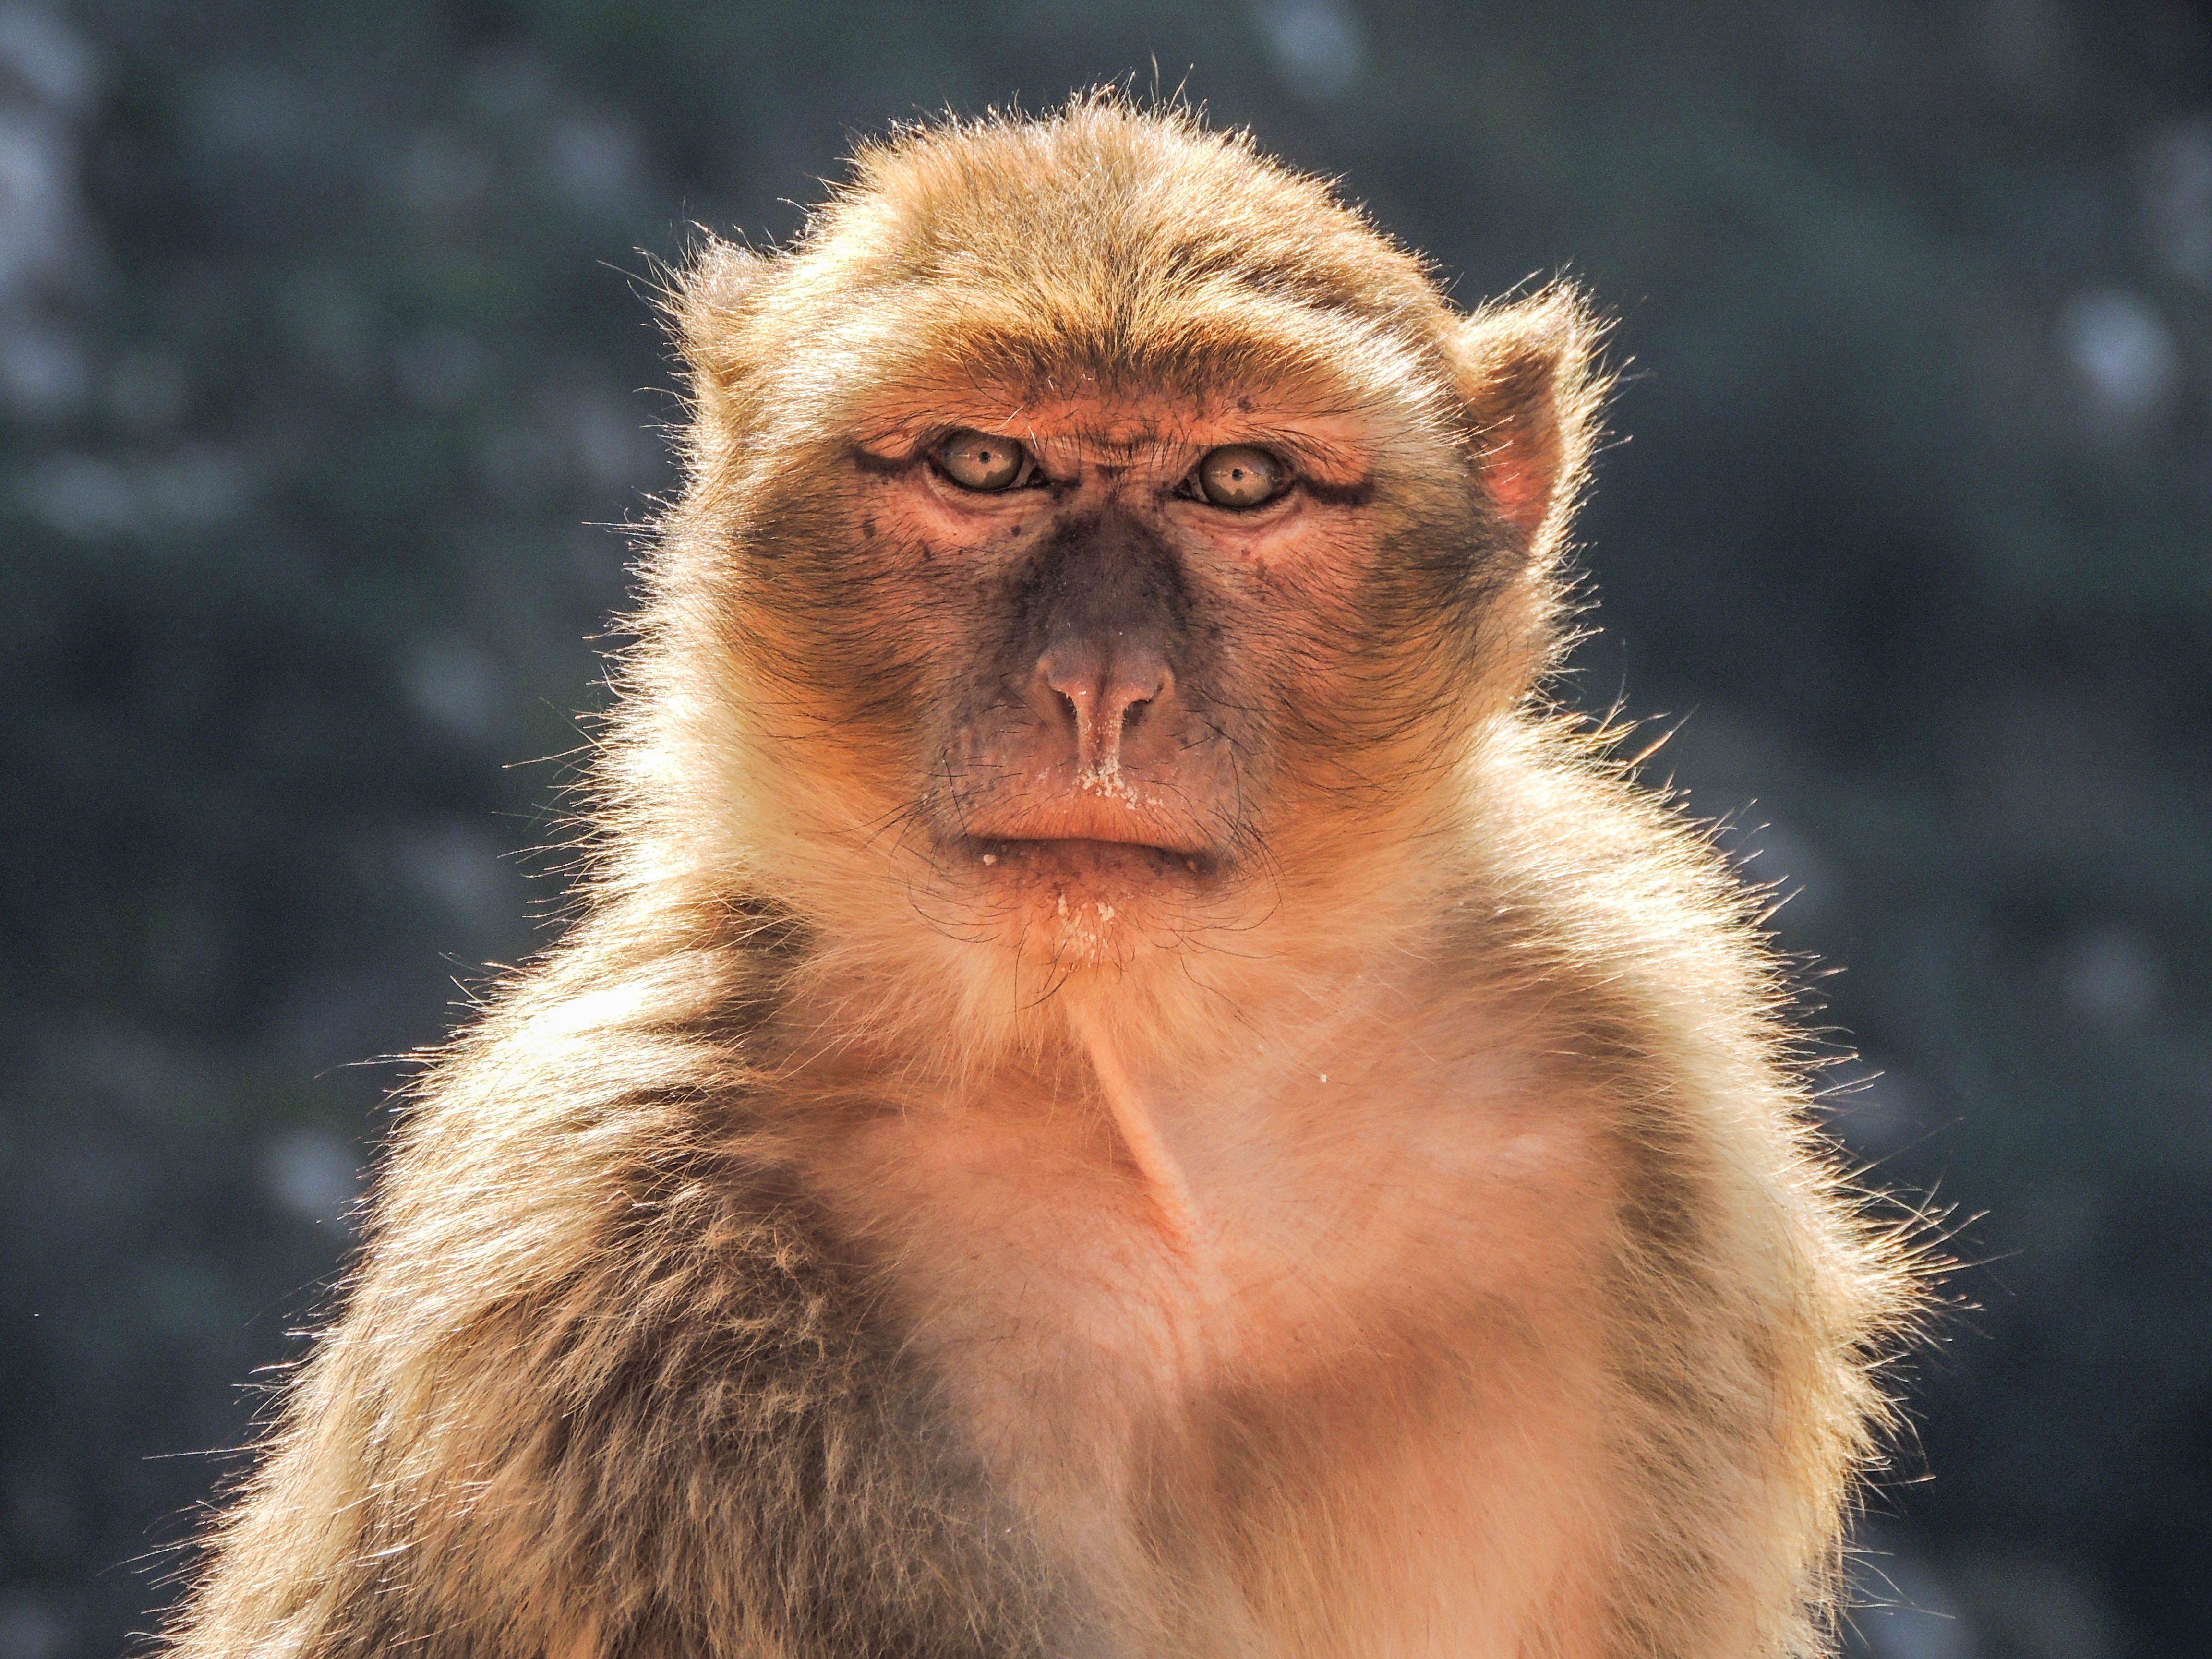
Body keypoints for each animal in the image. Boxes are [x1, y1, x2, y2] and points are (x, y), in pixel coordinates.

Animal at [162, 98, 1919, 1659]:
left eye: (1237, 482)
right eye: (981, 462)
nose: (1099, 689)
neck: (1147, 1076)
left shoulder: (1630, 1080)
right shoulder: (612, 1249)